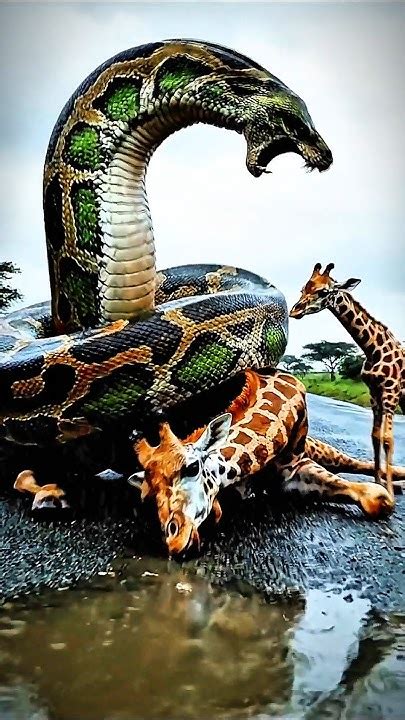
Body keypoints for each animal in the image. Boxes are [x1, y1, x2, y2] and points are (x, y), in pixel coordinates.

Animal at [132, 369, 405, 557]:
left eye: (191, 468)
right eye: (148, 495)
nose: (174, 539)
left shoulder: (296, 465)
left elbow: (377, 498)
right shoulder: (278, 483)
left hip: (317, 447)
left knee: (352, 462)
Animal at [290, 262, 405, 500]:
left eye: (323, 292)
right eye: (303, 288)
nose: (295, 311)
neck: (372, 348)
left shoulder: (390, 392)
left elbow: (388, 439)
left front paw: (387, 490)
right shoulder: (374, 393)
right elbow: (375, 436)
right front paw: (379, 483)